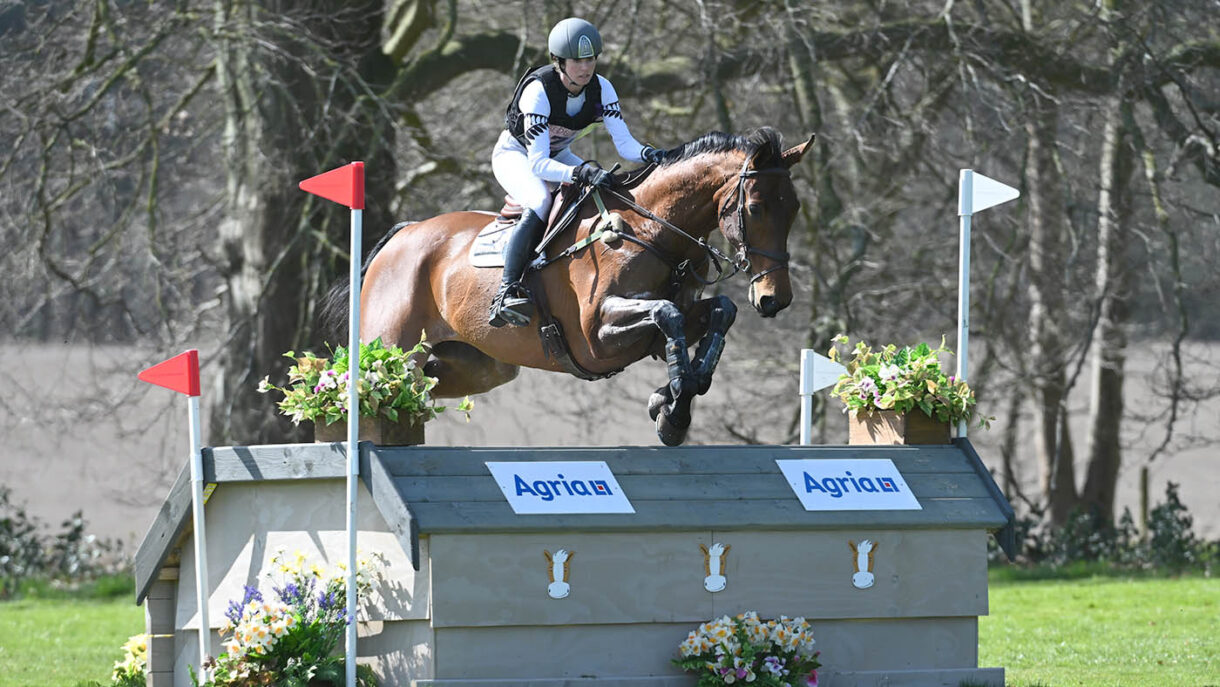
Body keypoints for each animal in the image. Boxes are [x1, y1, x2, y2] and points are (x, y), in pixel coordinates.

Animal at [322, 127, 814, 445]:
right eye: (755, 207)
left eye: (793, 209)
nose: (775, 299)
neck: (652, 229)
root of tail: (402, 235)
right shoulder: (597, 336)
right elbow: (667, 313)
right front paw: (673, 408)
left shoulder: (659, 327)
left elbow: (718, 312)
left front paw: (671, 399)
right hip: (391, 344)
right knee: (369, 383)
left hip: (476, 366)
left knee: (420, 386)